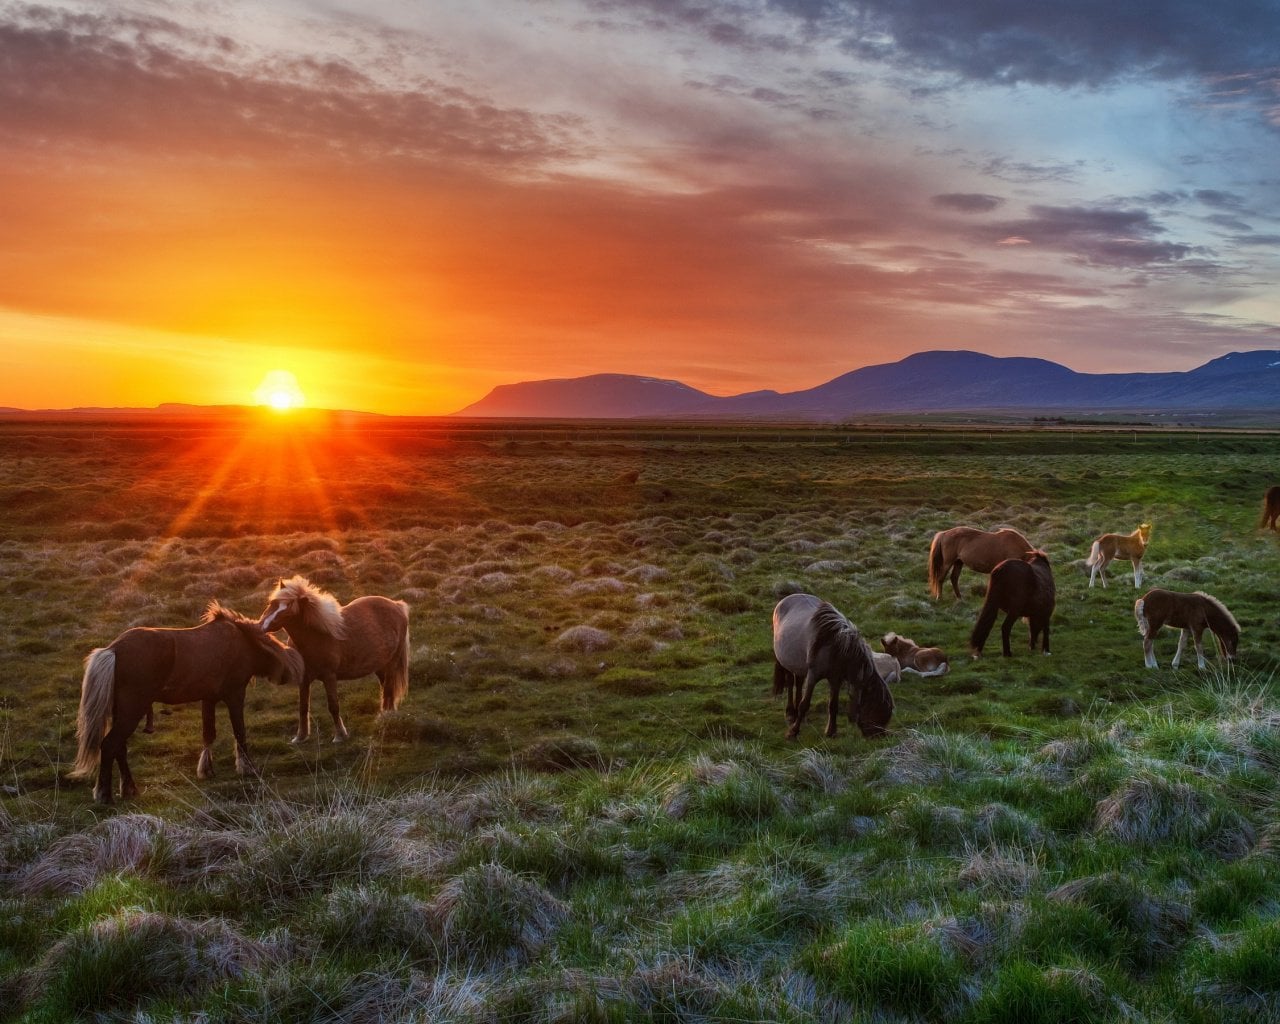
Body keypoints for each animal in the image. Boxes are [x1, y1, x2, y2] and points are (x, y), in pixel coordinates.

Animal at [70, 602, 304, 804]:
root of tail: (114, 650)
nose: (287, 676)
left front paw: (206, 769)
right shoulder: (235, 695)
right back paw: (104, 795)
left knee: (119, 747)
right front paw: (247, 768)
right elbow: (240, 732)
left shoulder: (208, 698)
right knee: (110, 745)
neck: (243, 642)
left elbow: (208, 734)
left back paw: (129, 789)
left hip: (122, 711)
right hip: (132, 710)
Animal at [257, 575, 411, 743]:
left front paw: (340, 735)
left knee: (388, 690)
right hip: (380, 666)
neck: (315, 636)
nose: (260, 627)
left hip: (392, 663)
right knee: (387, 690)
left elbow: (333, 706)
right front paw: (300, 737)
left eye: (288, 613)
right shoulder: (304, 679)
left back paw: (385, 719)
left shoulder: (329, 676)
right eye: (272, 603)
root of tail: (397, 606)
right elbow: (303, 707)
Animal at [771, 593, 894, 741]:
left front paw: (831, 732)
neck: (835, 647)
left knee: (799, 683)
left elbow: (833, 705)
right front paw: (793, 732)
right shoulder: (813, 676)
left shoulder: (835, 679)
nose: (879, 737)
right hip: (787, 662)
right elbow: (804, 705)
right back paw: (790, 713)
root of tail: (785, 599)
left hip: (799, 665)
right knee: (790, 683)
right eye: (874, 708)